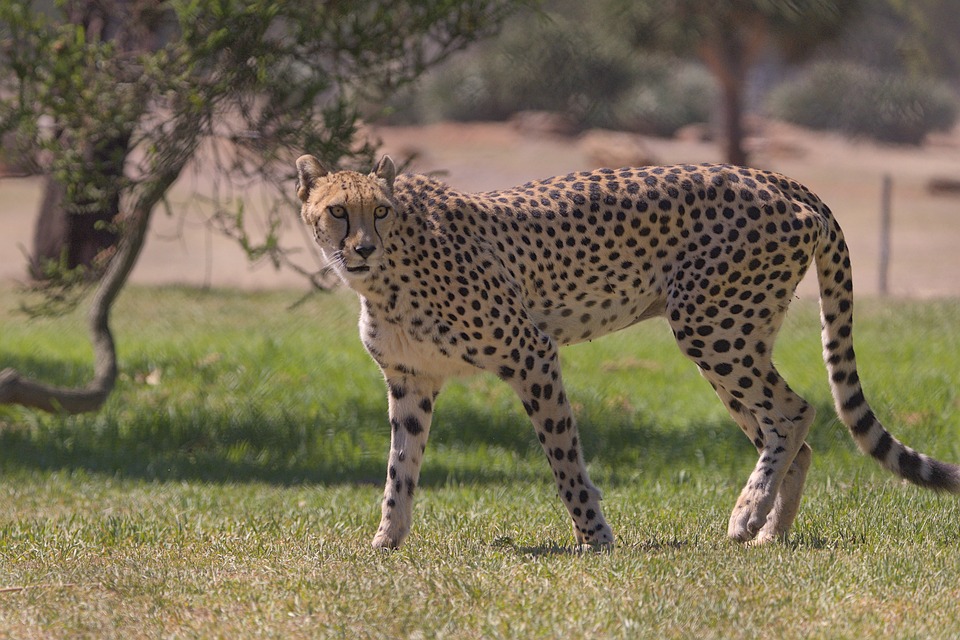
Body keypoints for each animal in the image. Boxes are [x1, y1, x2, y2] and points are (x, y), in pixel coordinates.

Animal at [295, 153, 960, 550]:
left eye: (381, 210)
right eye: (338, 211)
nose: (362, 246)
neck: (386, 273)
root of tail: (769, 175)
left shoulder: (532, 353)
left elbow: (564, 458)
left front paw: (595, 537)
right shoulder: (412, 382)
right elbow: (399, 468)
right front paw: (387, 541)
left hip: (712, 327)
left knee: (795, 412)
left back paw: (747, 515)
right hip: (733, 337)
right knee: (789, 430)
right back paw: (768, 532)